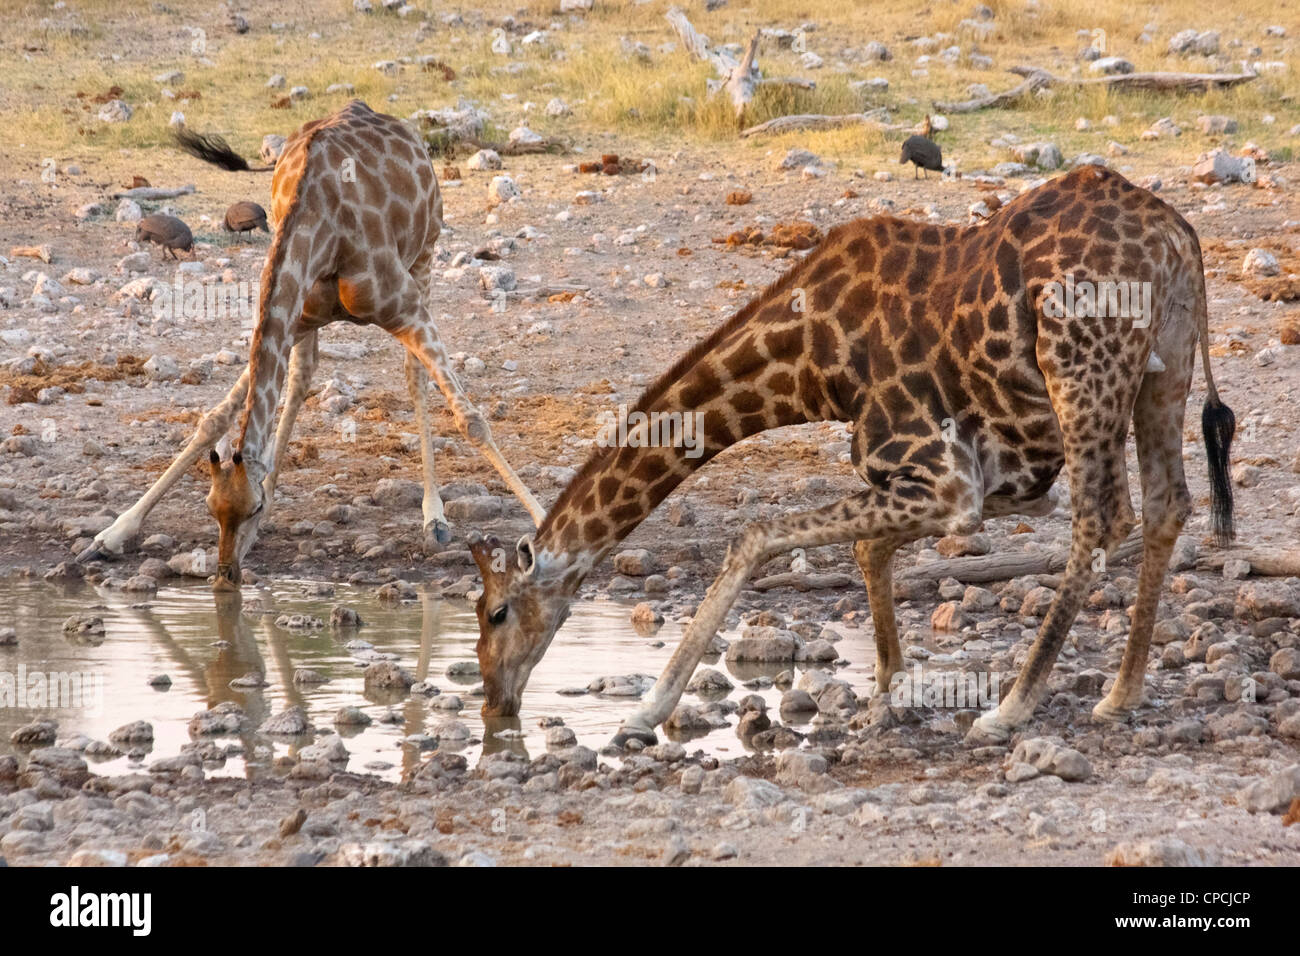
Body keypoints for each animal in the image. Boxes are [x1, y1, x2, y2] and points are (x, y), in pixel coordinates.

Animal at [79, 101, 545, 588]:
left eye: (252, 508)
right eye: (210, 509)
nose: (226, 575)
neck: (324, 224)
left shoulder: (405, 308)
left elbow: (471, 421)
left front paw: (541, 525)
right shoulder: (295, 312)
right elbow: (215, 418)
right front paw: (110, 535)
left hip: (425, 255)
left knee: (414, 376)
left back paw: (433, 518)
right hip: (316, 316)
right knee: (303, 377)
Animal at [468, 164, 1235, 746]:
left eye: (496, 613)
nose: (494, 702)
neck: (814, 362)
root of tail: (1179, 235)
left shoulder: (947, 481)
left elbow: (756, 534)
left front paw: (647, 710)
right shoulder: (960, 481)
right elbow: (868, 550)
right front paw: (884, 697)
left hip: (1081, 367)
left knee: (1103, 519)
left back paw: (1011, 708)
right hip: (1163, 366)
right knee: (1166, 505)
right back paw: (1121, 693)